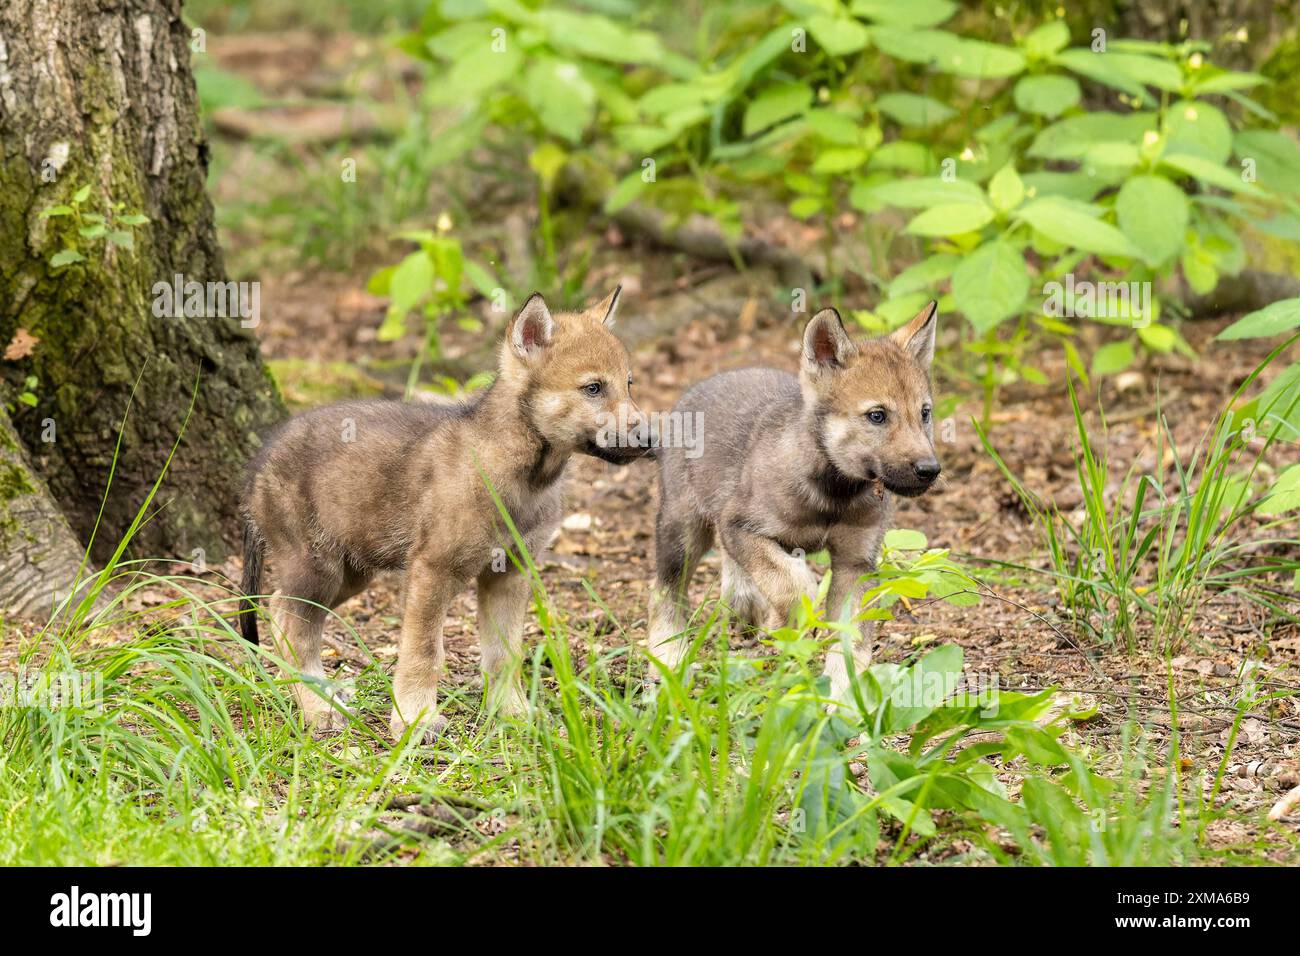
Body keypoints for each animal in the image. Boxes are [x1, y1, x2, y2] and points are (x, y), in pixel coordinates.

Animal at [240, 288, 652, 740]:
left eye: (630, 384)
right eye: (593, 388)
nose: (651, 439)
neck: (528, 476)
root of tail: (258, 462)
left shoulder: (510, 572)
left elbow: (505, 652)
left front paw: (512, 712)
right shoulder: (433, 570)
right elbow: (424, 652)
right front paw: (415, 719)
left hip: (350, 572)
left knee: (279, 612)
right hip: (318, 566)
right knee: (295, 629)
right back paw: (318, 709)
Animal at [647, 302, 941, 700]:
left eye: (924, 413)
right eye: (877, 416)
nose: (930, 470)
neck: (834, 493)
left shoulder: (855, 562)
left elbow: (850, 639)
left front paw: (842, 698)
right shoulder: (739, 524)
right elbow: (793, 583)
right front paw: (786, 621)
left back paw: (746, 607)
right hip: (685, 530)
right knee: (665, 590)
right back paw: (668, 660)